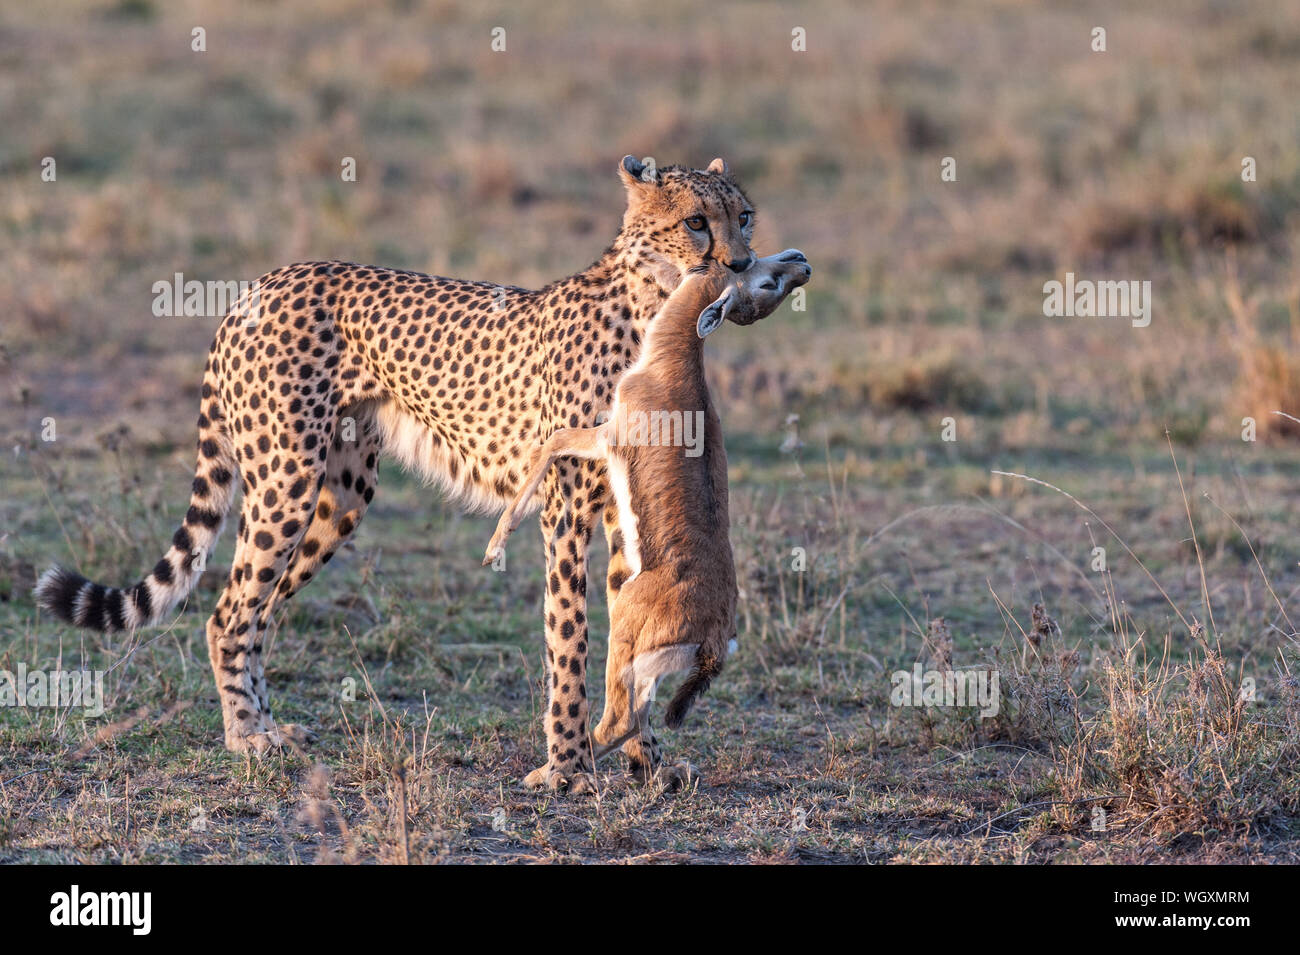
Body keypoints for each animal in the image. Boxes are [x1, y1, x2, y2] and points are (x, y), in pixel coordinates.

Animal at [35, 154, 773, 794]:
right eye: (696, 221)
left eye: (744, 216)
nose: (739, 264)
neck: (654, 307)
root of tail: (263, 282)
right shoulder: (563, 512)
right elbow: (569, 639)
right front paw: (568, 767)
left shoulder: (627, 515)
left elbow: (629, 643)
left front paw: (646, 759)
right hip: (286, 479)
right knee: (229, 611)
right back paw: (248, 738)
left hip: (342, 496)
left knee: (263, 609)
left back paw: (274, 727)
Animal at [484, 249, 812, 781]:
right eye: (769, 283)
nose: (801, 263)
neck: (673, 359)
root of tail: (714, 639)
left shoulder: (603, 437)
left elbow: (551, 441)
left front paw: (496, 543)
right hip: (645, 668)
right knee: (635, 717)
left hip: (622, 629)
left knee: (619, 719)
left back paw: (556, 769)